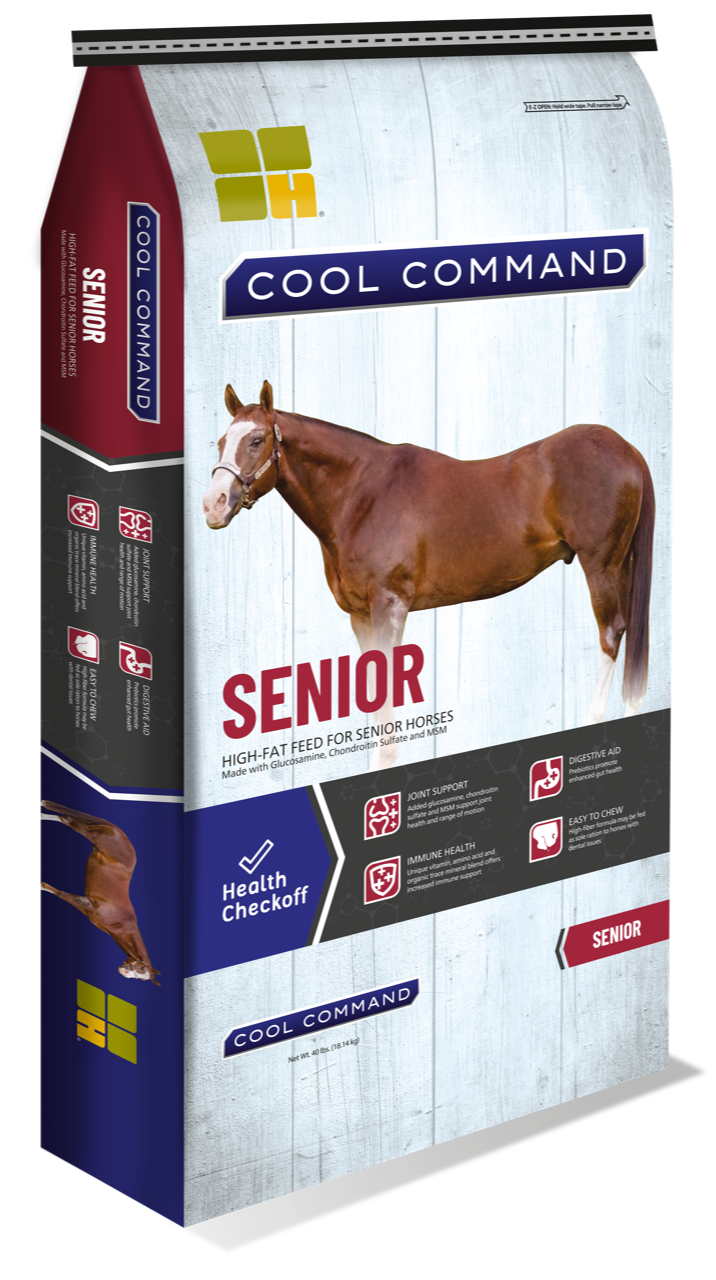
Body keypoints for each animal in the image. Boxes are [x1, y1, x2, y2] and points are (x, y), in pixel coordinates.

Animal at [40, 800, 160, 984]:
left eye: (142, 978)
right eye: (141, 968)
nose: (123, 972)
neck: (121, 924)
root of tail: (121, 833)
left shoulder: (86, 909)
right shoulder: (89, 903)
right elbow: (61, 894)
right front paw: (41, 885)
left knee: (68, 818)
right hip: (93, 833)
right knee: (68, 820)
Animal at [203, 381, 654, 770]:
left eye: (256, 440)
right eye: (222, 442)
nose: (213, 504)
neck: (361, 495)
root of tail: (629, 449)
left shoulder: (390, 606)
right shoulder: (360, 615)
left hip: (601, 564)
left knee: (612, 632)